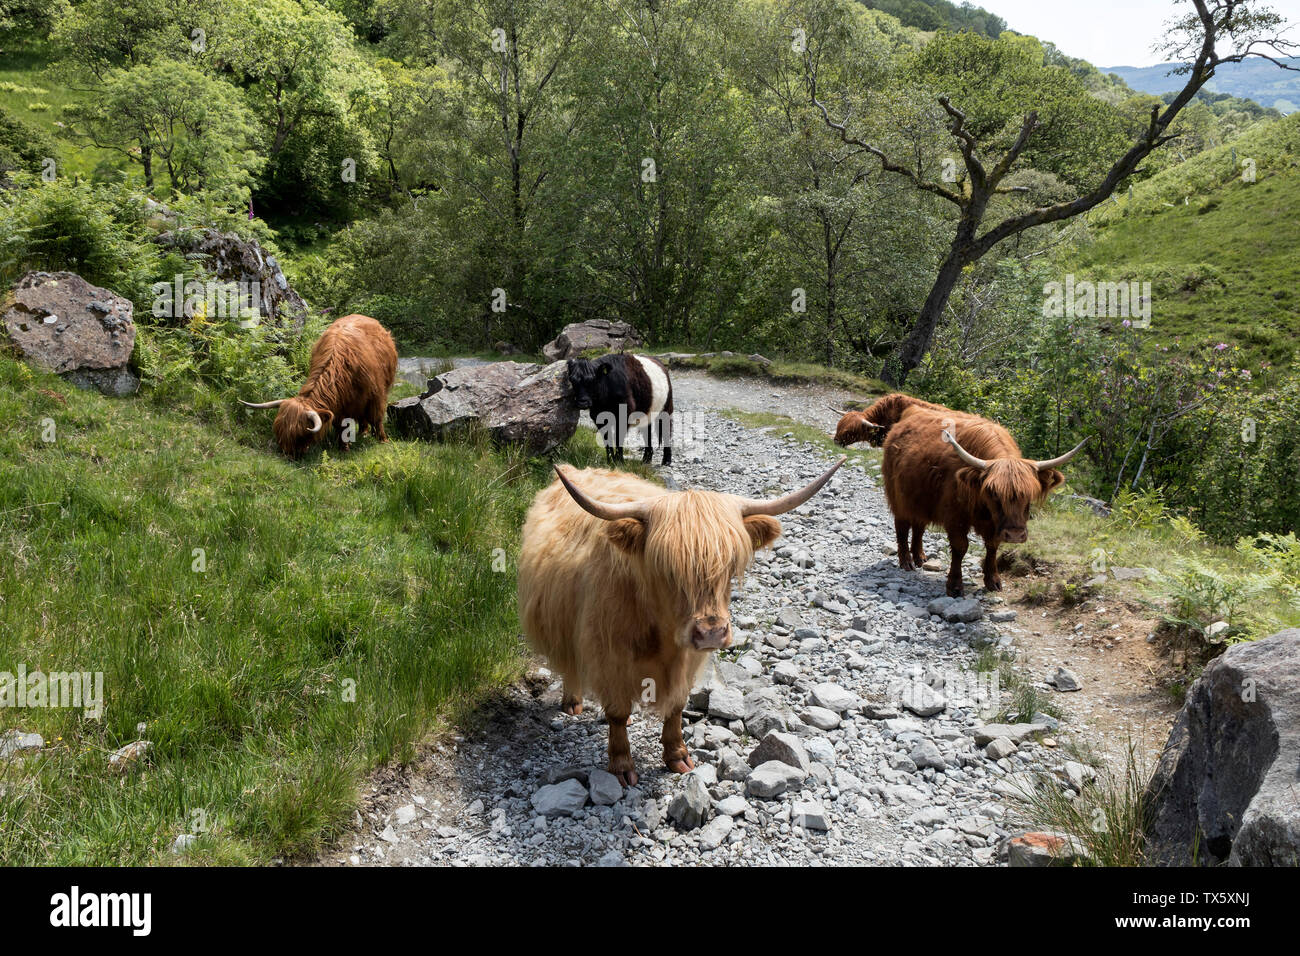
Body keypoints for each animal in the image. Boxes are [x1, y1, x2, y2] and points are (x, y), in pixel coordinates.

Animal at [241, 314, 397, 459]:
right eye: (278, 429)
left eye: (300, 434)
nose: (288, 454)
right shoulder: (338, 405)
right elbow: (341, 425)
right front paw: (344, 447)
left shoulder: (376, 396)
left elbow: (377, 418)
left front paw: (383, 440)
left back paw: (365, 433)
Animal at [517, 457, 844, 784]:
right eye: (667, 569)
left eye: (730, 565)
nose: (711, 633)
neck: (662, 635)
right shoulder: (609, 656)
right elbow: (617, 713)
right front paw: (622, 766)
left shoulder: (688, 661)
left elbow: (676, 706)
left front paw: (677, 755)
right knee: (568, 663)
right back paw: (573, 701)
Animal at [881, 404, 1086, 597]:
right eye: (993, 493)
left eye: (1030, 494)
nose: (1015, 535)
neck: (984, 508)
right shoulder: (955, 518)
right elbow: (960, 547)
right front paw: (955, 586)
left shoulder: (994, 524)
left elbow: (992, 546)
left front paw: (993, 581)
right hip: (898, 497)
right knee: (902, 527)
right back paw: (906, 561)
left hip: (920, 499)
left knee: (919, 526)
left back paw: (920, 557)